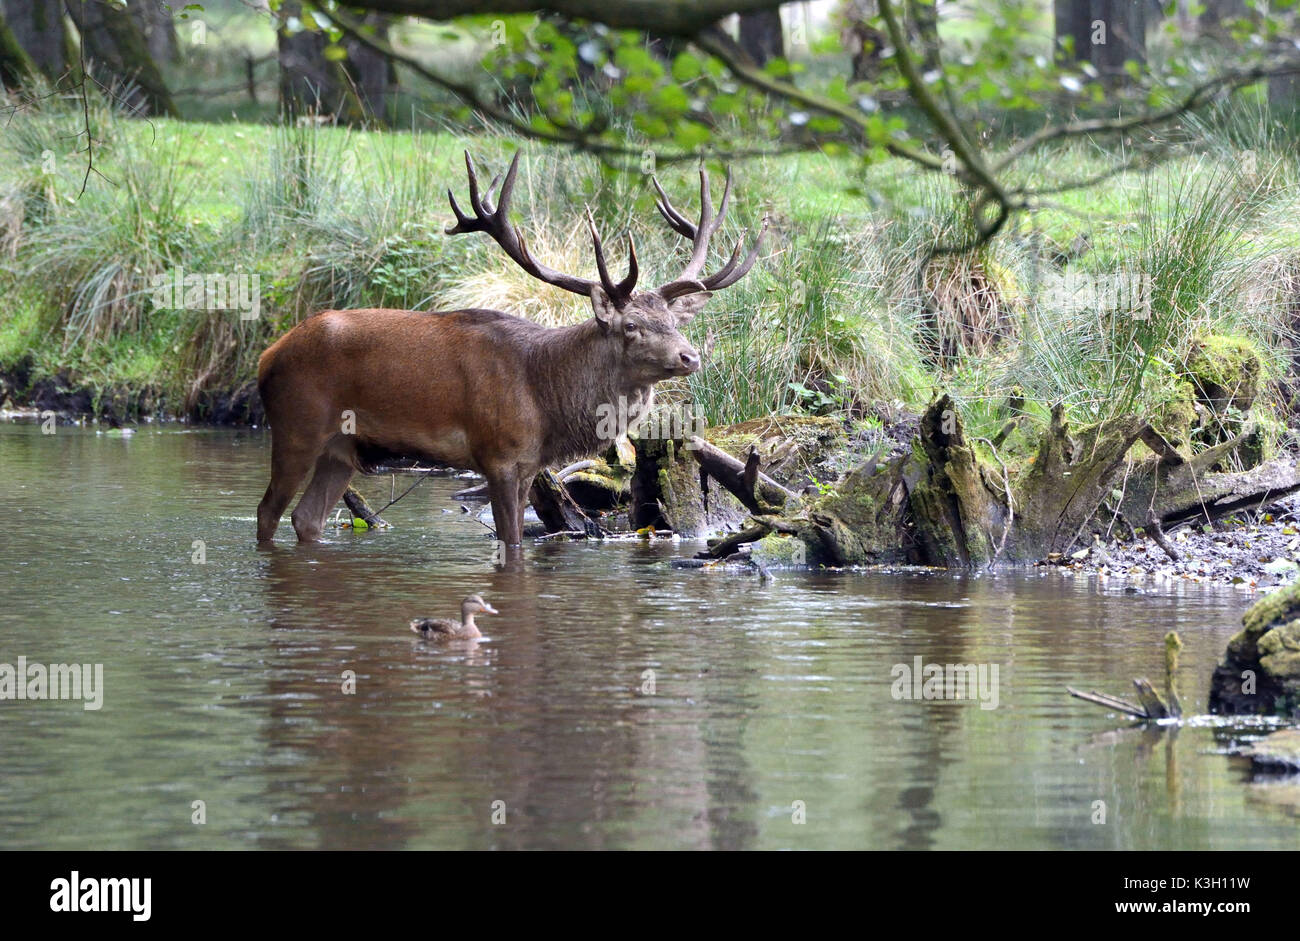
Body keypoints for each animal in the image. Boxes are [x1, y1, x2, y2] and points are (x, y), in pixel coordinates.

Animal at [255, 150, 766, 548]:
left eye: (675, 323)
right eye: (632, 326)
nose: (689, 357)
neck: (546, 400)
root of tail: (266, 356)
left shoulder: (528, 465)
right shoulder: (497, 455)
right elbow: (512, 543)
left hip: (343, 449)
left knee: (306, 518)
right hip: (297, 425)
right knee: (268, 511)